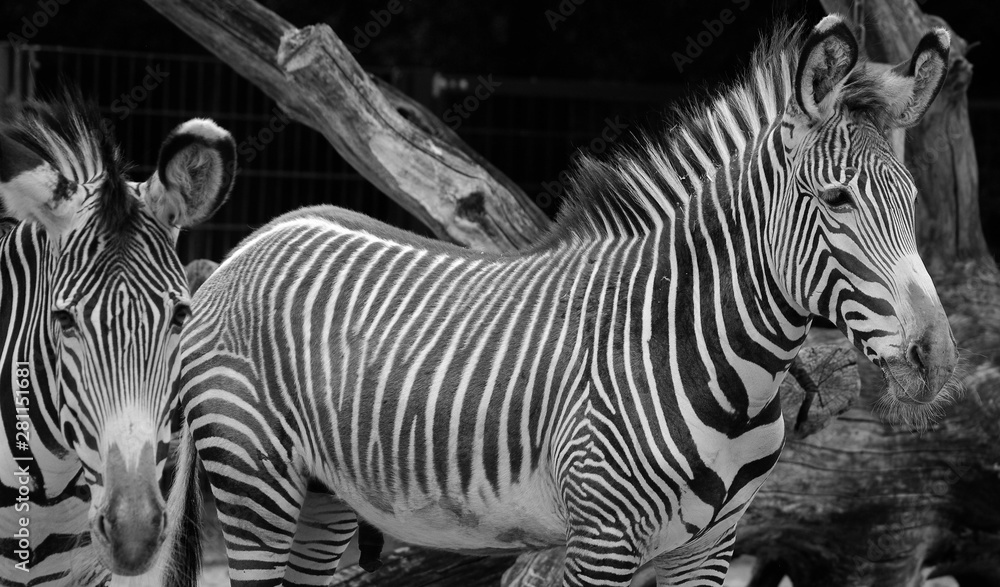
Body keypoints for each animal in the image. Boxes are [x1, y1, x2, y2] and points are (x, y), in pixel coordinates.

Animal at [178, 16, 956, 586]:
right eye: (837, 199)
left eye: (914, 200)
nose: (938, 360)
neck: (701, 350)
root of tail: (252, 241)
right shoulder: (600, 541)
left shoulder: (710, 548)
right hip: (252, 479)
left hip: (323, 493)